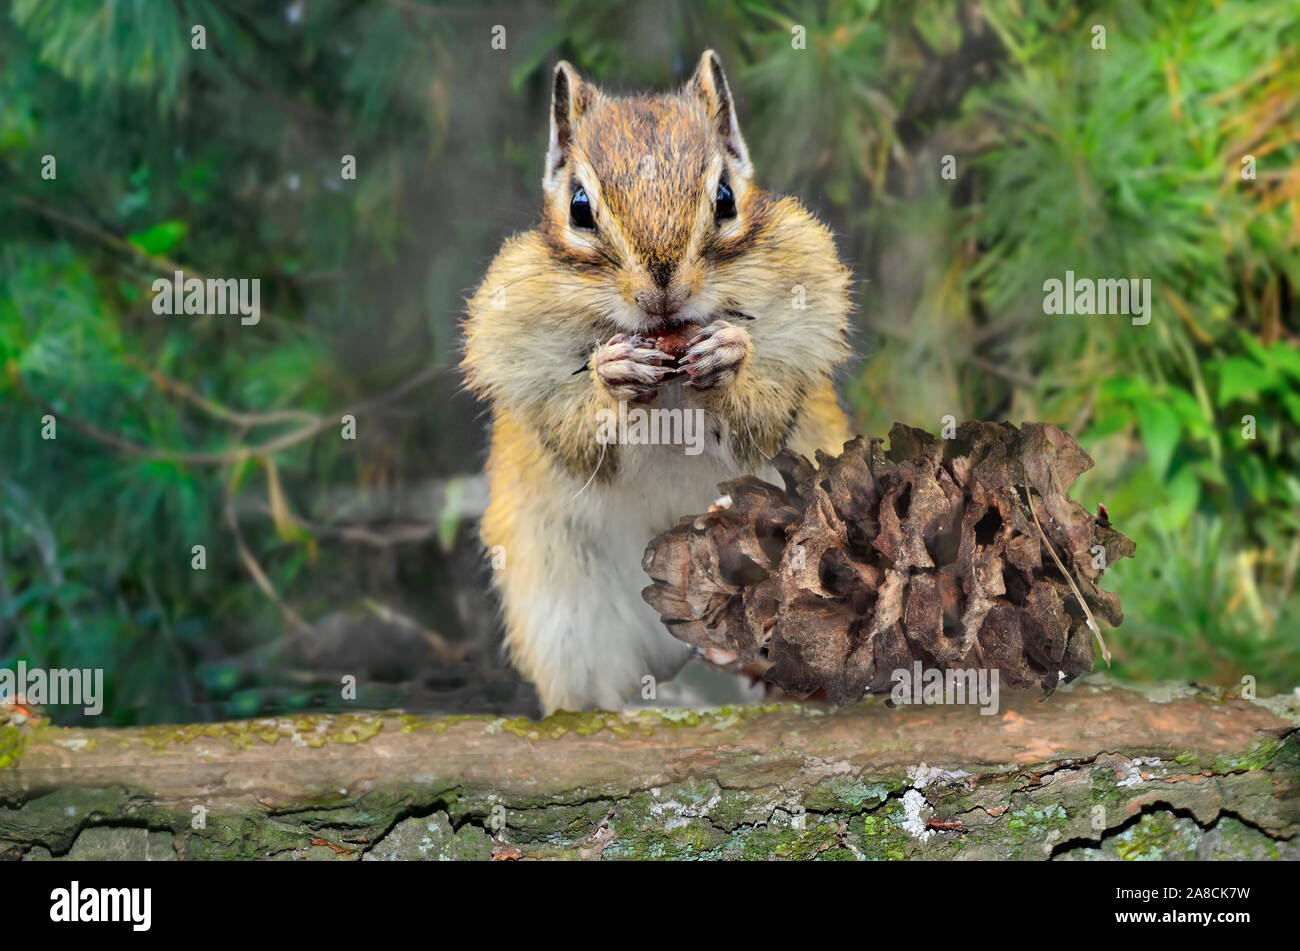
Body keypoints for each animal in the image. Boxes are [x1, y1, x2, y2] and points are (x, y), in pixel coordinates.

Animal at [461, 50, 853, 714]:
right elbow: (581, 441)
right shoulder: (525, 372)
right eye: (579, 207)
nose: (663, 291)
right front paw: (612, 374)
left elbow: (763, 419)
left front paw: (730, 357)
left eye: (725, 197)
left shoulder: (804, 340)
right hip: (570, 621)